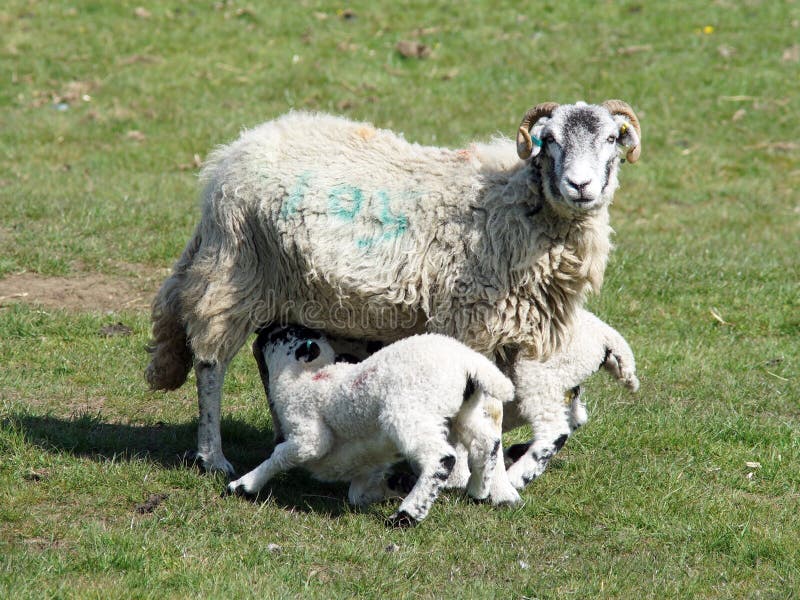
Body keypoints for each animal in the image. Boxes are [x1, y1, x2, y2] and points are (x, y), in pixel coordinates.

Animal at [145, 100, 642, 476]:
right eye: (551, 139)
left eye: (610, 139)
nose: (580, 186)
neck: (514, 204)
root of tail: (229, 156)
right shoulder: (471, 322)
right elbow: (487, 411)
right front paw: (473, 475)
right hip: (236, 272)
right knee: (211, 364)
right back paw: (213, 457)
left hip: (287, 288)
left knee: (262, 354)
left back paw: (282, 432)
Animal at [226, 326, 521, 526]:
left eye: (285, 334)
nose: (264, 328)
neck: (305, 380)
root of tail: (469, 361)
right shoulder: (366, 462)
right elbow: (358, 494)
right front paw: (396, 484)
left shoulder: (309, 435)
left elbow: (281, 456)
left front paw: (244, 484)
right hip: (463, 409)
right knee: (486, 441)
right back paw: (479, 489)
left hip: (410, 411)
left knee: (442, 458)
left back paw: (406, 516)